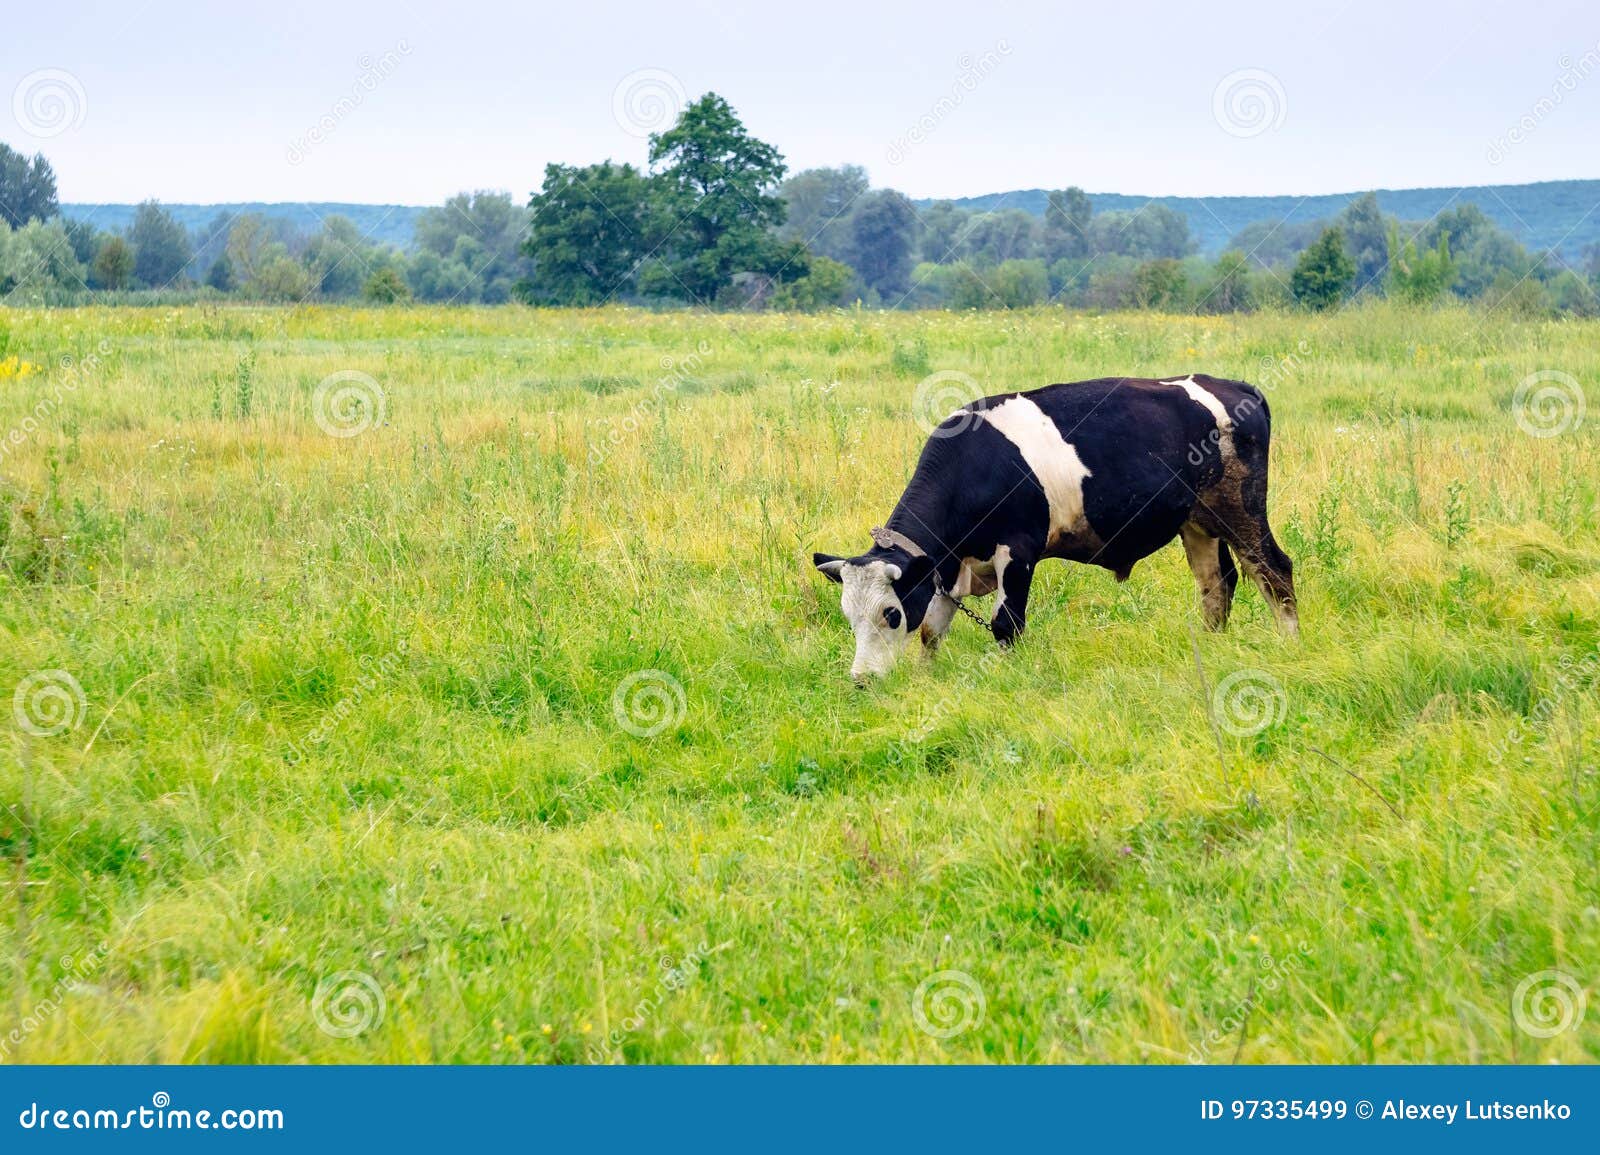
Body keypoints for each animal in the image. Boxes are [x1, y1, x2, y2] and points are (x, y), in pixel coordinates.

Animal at [813, 374, 1298, 680]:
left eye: (890, 613)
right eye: (848, 616)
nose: (862, 679)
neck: (975, 464)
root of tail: (1233, 385)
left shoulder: (1018, 551)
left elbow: (1006, 624)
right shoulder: (948, 566)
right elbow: (933, 630)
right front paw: (924, 679)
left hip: (1240, 508)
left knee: (1273, 569)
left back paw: (1288, 642)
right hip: (1197, 523)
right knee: (1218, 583)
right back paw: (1212, 646)